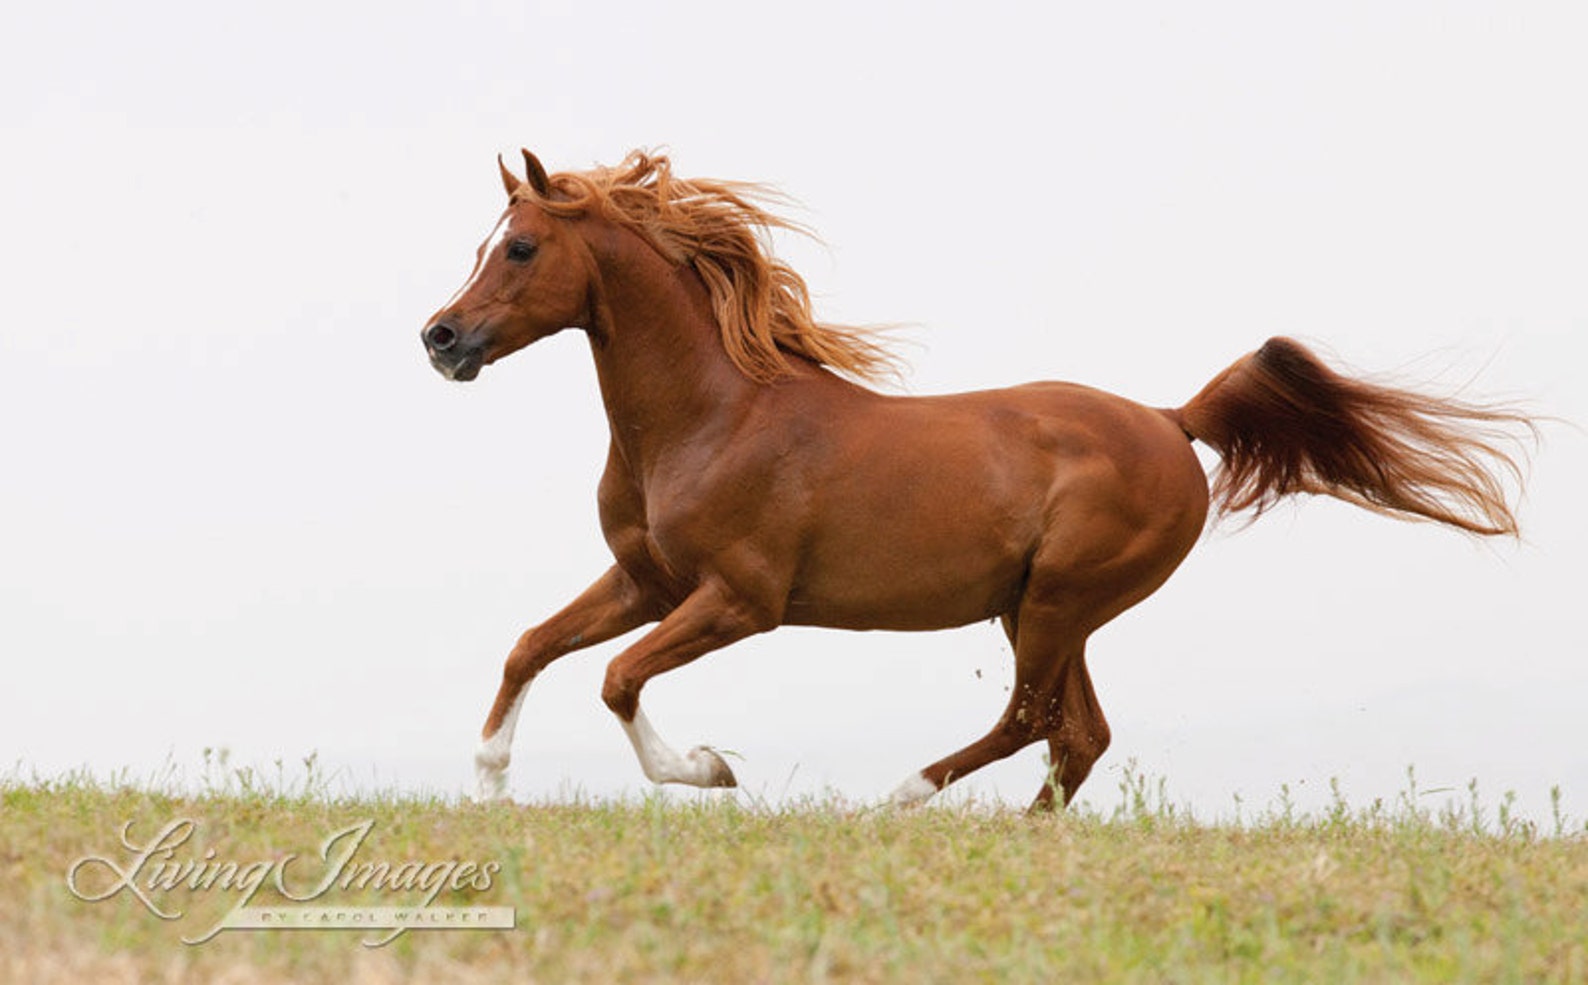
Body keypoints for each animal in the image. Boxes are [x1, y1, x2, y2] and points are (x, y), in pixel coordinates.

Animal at [421, 149, 1534, 810]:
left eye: (520, 247)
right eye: (484, 243)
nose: (440, 339)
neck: (711, 418)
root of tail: (1172, 421)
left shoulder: (739, 599)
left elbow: (616, 676)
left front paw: (708, 769)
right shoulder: (647, 580)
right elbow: (532, 646)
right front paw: (487, 781)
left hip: (1058, 601)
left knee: (1037, 720)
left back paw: (901, 798)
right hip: (1037, 607)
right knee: (1077, 733)